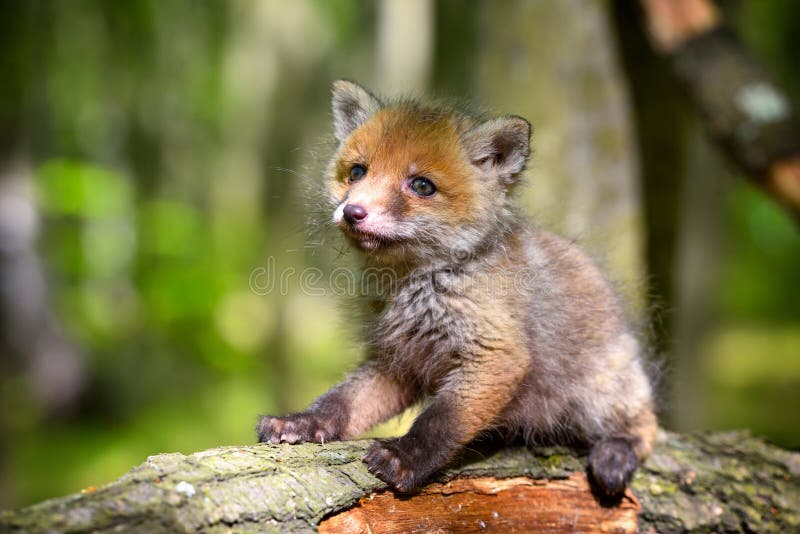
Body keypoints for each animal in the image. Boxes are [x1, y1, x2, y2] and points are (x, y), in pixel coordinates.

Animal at [257, 80, 657, 496]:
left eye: (421, 185)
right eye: (357, 172)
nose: (353, 212)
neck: (413, 287)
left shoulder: (494, 354)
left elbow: (440, 420)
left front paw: (404, 458)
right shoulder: (396, 361)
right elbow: (343, 401)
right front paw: (302, 423)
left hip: (600, 395)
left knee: (647, 425)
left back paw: (616, 451)